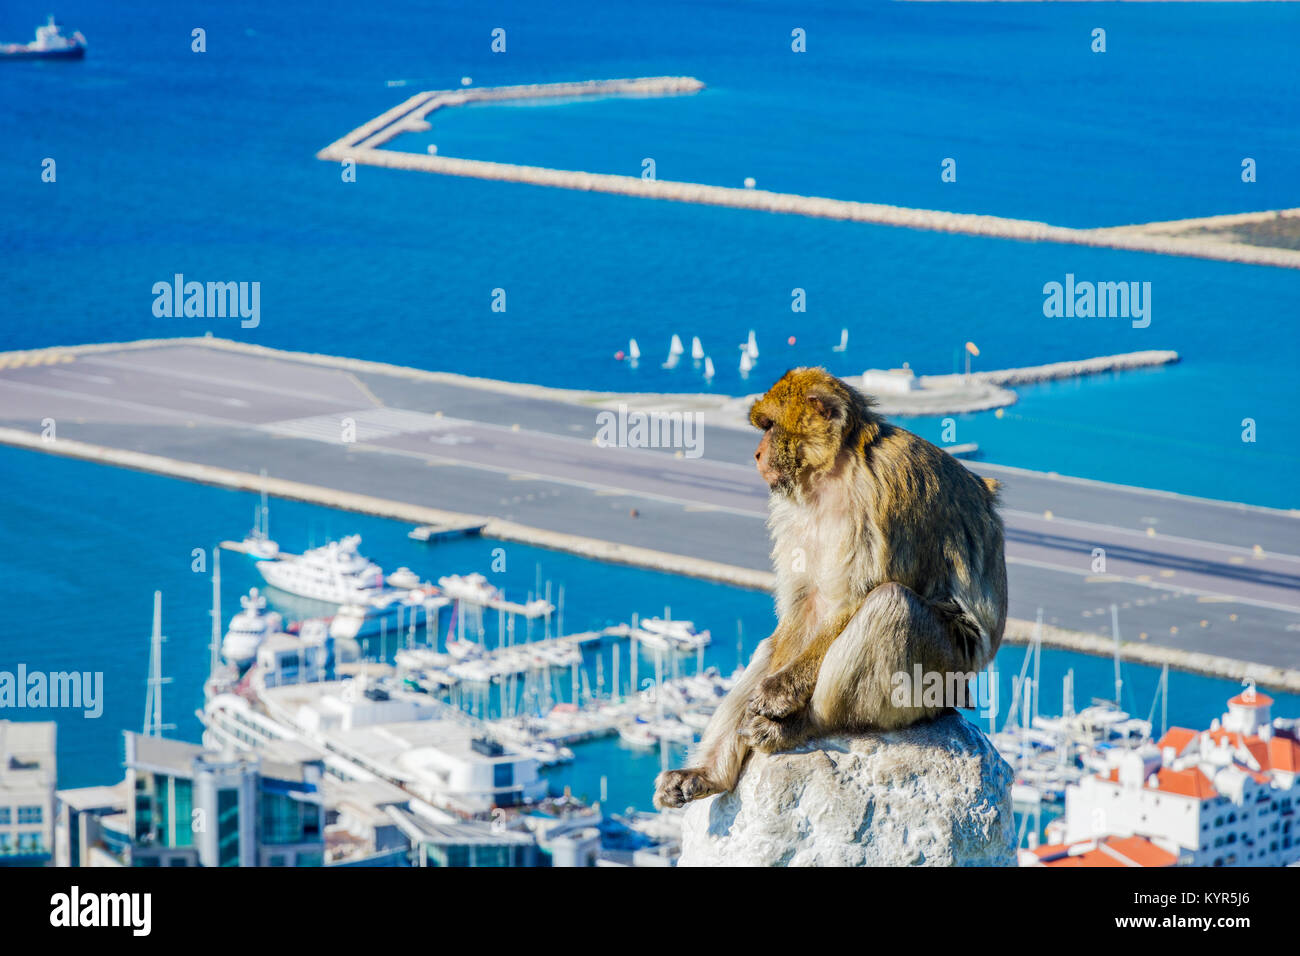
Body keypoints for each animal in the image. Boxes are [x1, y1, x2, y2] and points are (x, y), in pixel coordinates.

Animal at [654, 367, 1006, 810]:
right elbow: (807, 606)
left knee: (891, 604)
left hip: (944, 675)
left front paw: (779, 697)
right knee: (775, 645)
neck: (837, 471)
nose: (756, 454)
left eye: (769, 426)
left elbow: (856, 597)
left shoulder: (888, 488)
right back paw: (708, 773)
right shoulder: (792, 509)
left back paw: (807, 724)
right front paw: (769, 700)